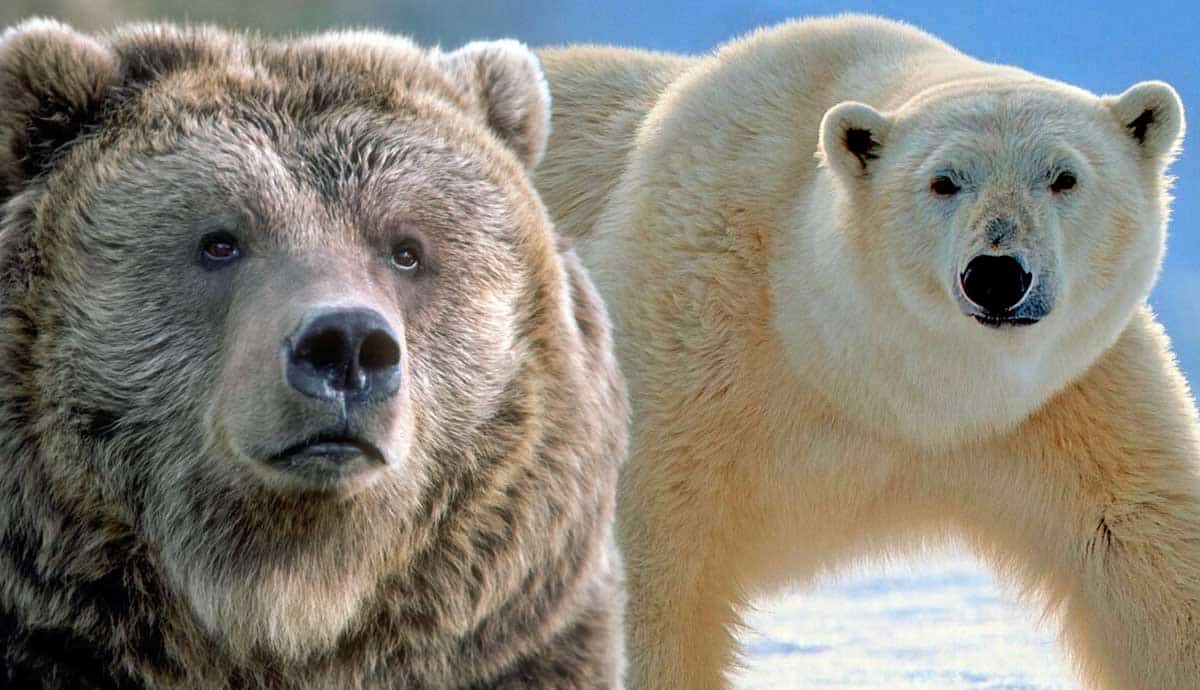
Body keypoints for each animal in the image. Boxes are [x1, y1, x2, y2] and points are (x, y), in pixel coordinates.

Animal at [533, 14, 1198, 690]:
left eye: (1064, 176)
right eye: (943, 181)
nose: (996, 275)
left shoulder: (1070, 397)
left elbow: (1144, 546)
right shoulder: (684, 341)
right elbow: (644, 567)